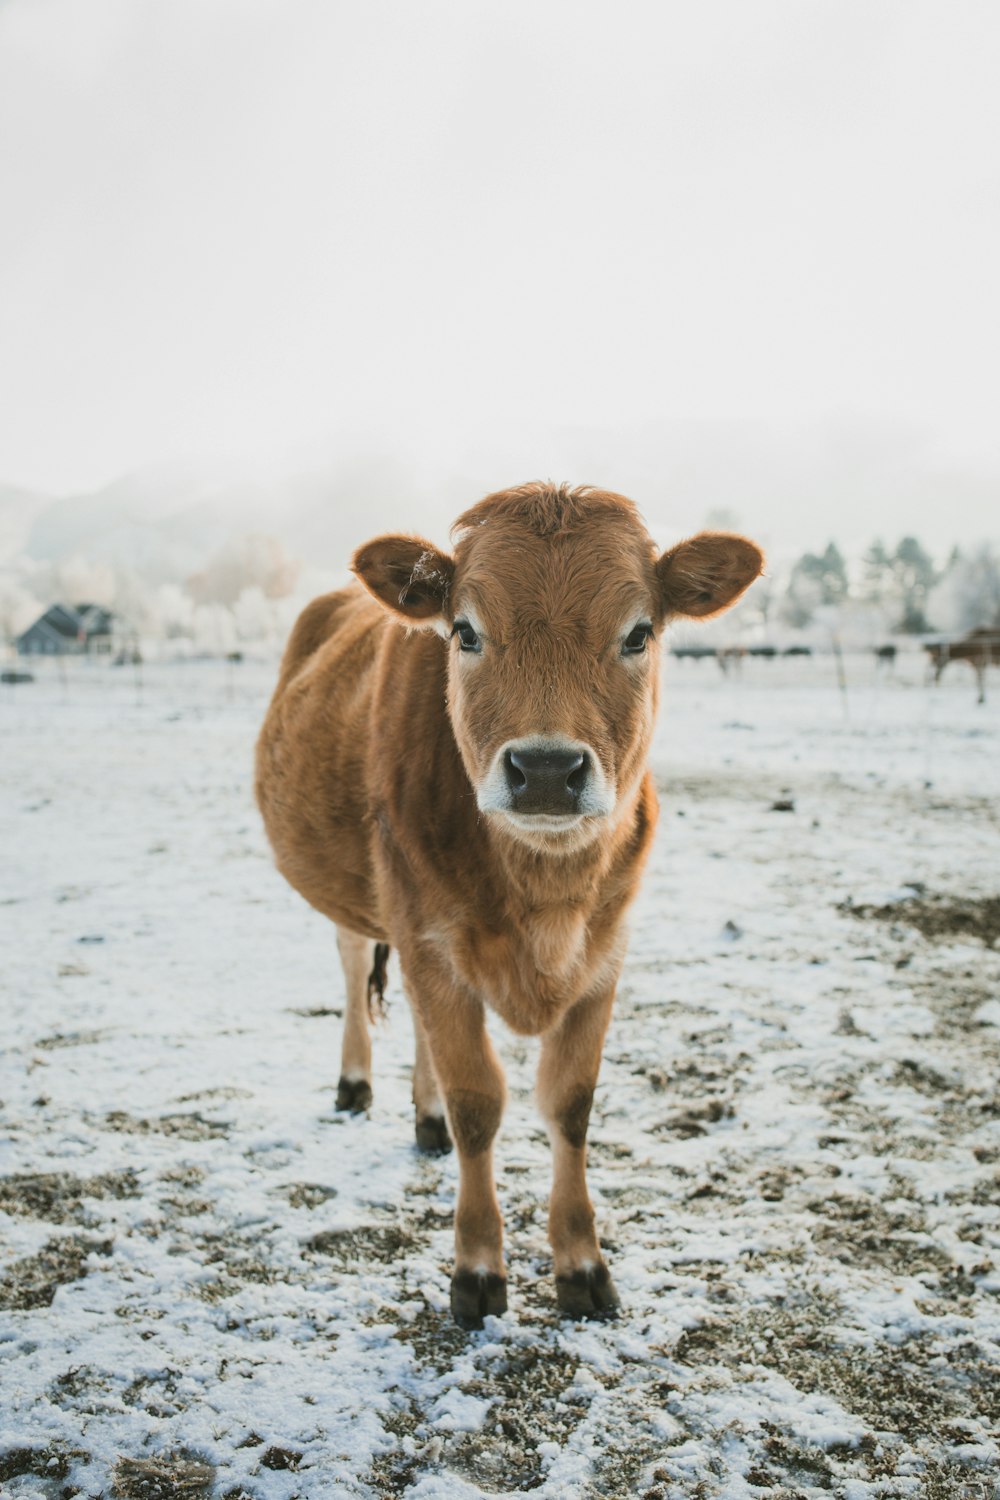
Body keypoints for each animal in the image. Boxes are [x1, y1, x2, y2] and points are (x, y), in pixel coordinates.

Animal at [255, 482, 763, 1327]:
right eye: (465, 631)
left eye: (639, 633)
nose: (548, 770)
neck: (544, 895)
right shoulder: (427, 936)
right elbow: (478, 1104)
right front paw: (477, 1271)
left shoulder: (605, 951)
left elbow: (569, 1103)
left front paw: (582, 1265)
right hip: (368, 906)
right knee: (356, 967)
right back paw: (357, 1085)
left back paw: (422, 1118)